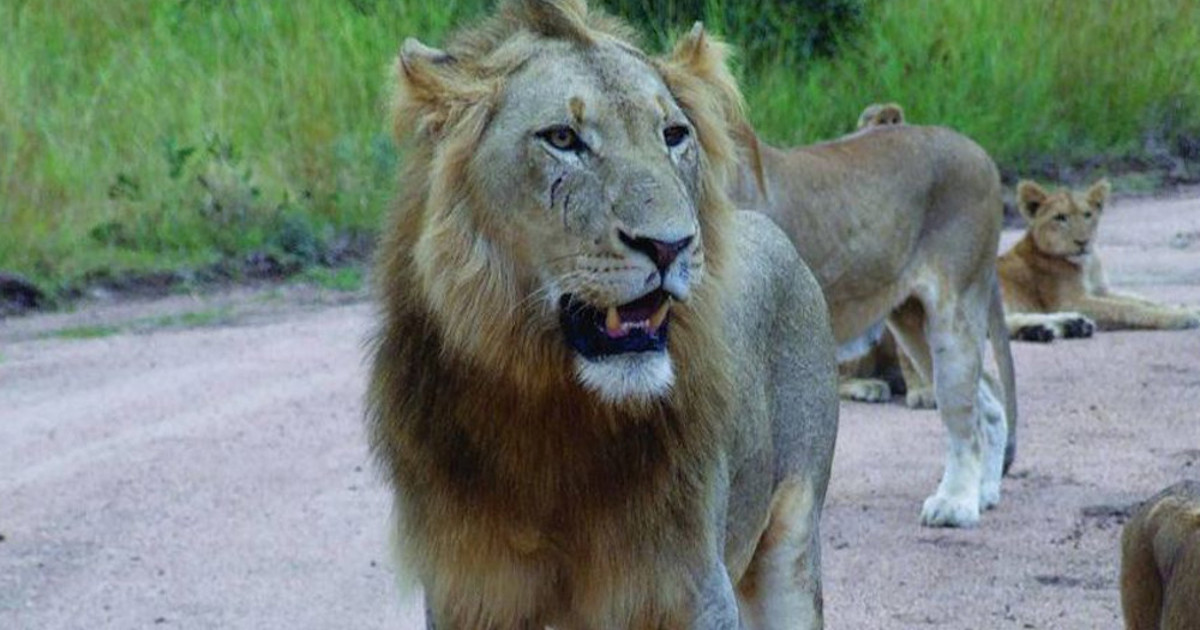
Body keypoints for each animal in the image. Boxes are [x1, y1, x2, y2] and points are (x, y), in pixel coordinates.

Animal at [366, 1, 839, 627]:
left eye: (673, 135)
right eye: (563, 138)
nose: (670, 245)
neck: (554, 408)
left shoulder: (691, 587)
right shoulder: (469, 591)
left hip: (793, 542)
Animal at [729, 118, 1017, 528]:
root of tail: (980, 153)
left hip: (954, 311)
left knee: (963, 416)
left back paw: (957, 503)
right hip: (913, 322)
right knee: (988, 393)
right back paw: (985, 492)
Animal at [998, 179, 1200, 340]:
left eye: (1087, 215)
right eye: (1060, 218)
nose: (1082, 242)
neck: (1087, 265)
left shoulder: (1100, 291)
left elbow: (1142, 300)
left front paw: (1186, 308)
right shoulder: (1068, 301)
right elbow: (1126, 308)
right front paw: (1180, 317)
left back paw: (1067, 326)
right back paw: (1051, 328)